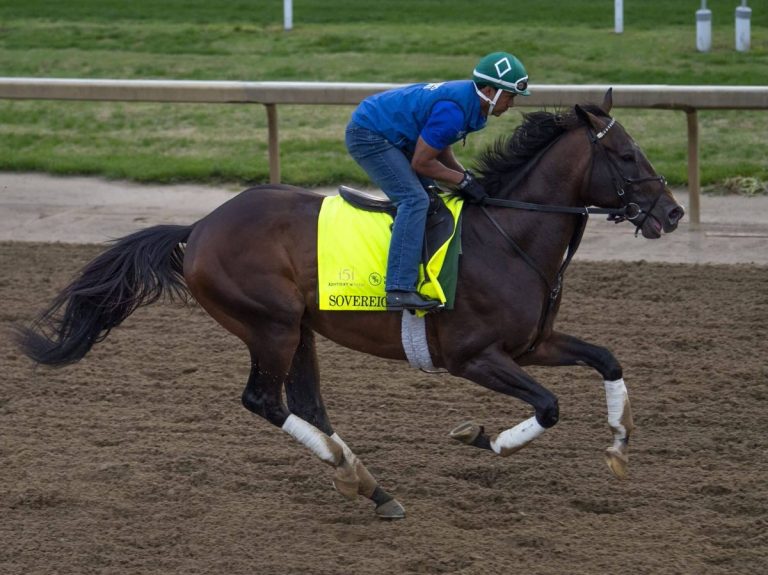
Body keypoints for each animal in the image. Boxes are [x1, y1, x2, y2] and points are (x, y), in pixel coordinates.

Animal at [16, 89, 685, 519]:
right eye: (627, 156)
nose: (672, 213)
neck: (509, 237)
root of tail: (200, 226)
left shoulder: (532, 344)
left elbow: (608, 359)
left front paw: (619, 444)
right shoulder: (472, 356)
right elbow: (546, 407)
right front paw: (480, 437)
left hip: (299, 329)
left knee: (308, 403)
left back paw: (366, 483)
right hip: (270, 326)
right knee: (265, 401)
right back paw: (355, 476)